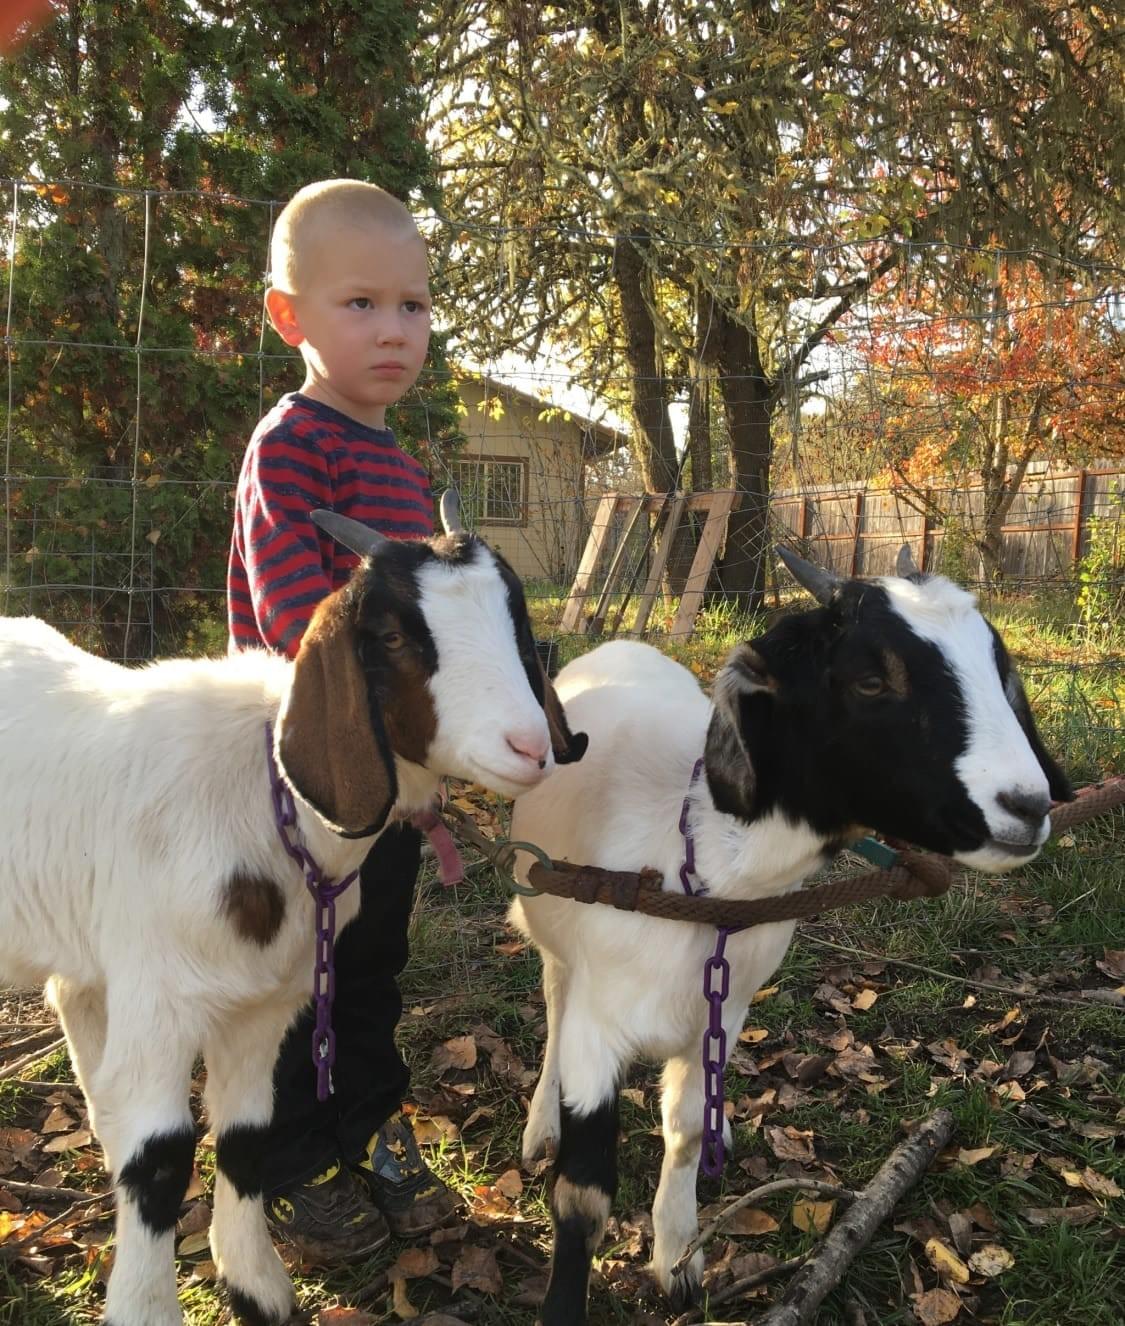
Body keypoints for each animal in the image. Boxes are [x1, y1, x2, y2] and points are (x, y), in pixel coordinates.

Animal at [0, 499, 586, 1326]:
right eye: (394, 637)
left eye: (516, 621)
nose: (530, 747)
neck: (267, 796)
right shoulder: (160, 999)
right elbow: (160, 1159)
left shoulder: (262, 1007)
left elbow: (245, 1137)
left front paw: (257, 1289)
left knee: (77, 1012)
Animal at [510, 547, 1071, 1326]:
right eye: (871, 679)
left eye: (999, 668)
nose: (1025, 808)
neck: (693, 869)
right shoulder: (599, 1028)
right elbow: (583, 1196)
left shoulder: (721, 1009)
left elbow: (684, 1134)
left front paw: (678, 1260)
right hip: (551, 937)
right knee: (554, 1002)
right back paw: (540, 1127)